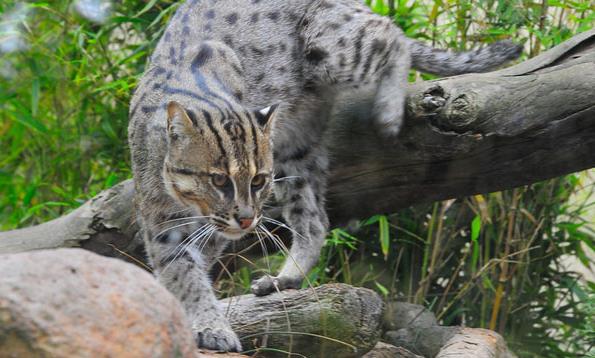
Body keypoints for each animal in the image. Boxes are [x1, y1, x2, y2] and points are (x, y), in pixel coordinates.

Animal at [129, 0, 520, 352]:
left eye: (258, 181)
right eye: (219, 180)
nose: (247, 220)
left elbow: (190, 270)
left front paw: (206, 323)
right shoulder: (163, 219)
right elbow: (183, 272)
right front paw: (201, 318)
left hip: (331, 47)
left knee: (390, 32)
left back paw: (389, 107)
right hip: (298, 154)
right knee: (315, 221)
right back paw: (285, 277)